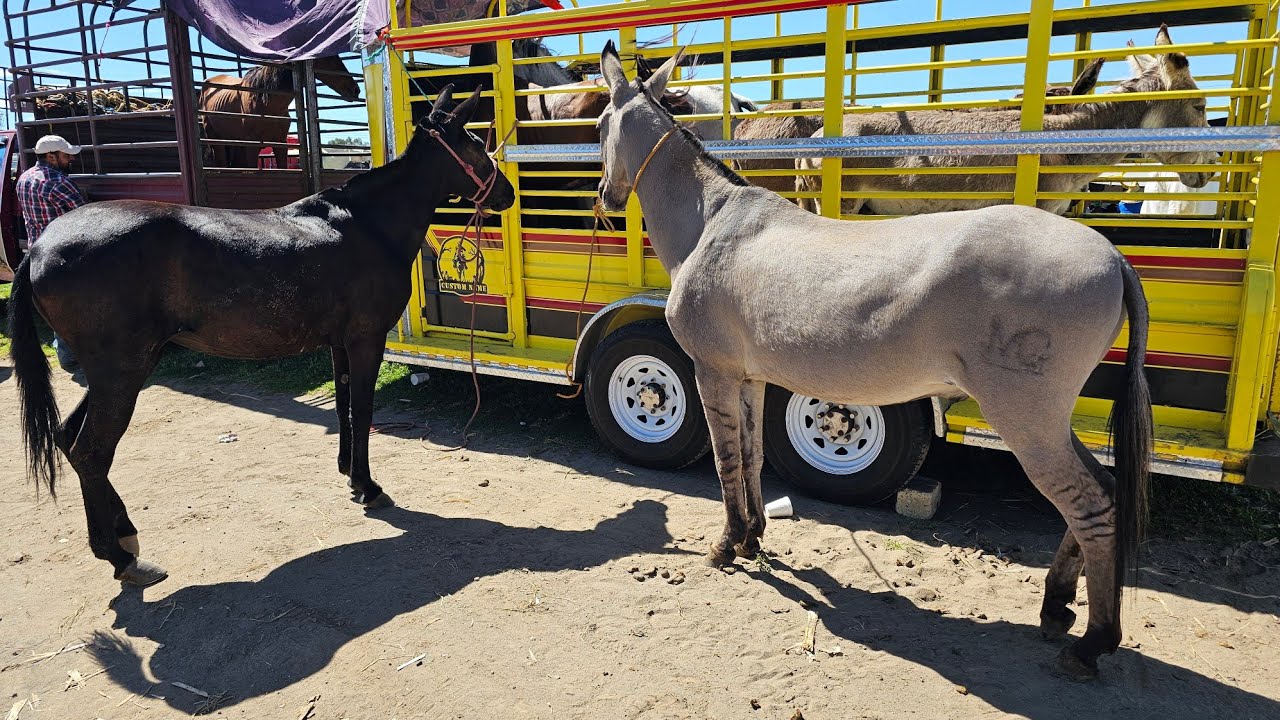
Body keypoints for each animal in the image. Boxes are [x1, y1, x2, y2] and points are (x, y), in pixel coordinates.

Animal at [8, 86, 514, 587]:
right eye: (474, 141)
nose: (506, 193)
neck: (367, 224)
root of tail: (41, 246)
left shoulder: (339, 343)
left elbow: (345, 408)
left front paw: (350, 477)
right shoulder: (366, 341)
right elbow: (363, 409)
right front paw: (369, 487)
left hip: (120, 370)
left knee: (71, 440)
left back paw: (124, 535)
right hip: (121, 372)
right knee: (91, 451)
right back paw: (121, 557)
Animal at [199, 56, 363, 168]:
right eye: (327, 57)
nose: (356, 89)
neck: (266, 103)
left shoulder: (280, 143)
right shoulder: (252, 148)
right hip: (216, 140)